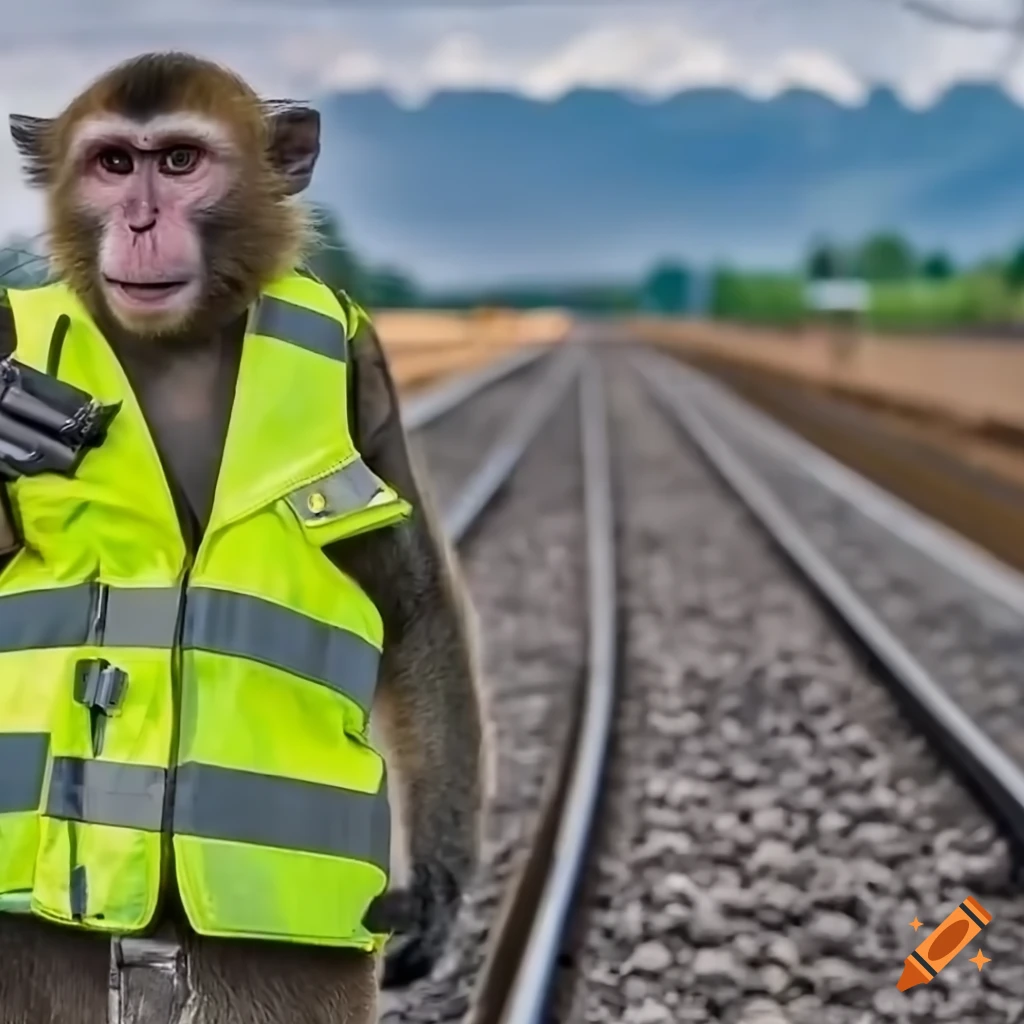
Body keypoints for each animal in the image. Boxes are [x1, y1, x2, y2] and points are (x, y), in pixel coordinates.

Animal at [0, 51, 486, 1023]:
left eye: (181, 162)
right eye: (115, 165)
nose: (141, 220)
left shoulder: (367, 366)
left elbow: (410, 598)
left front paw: (437, 895)